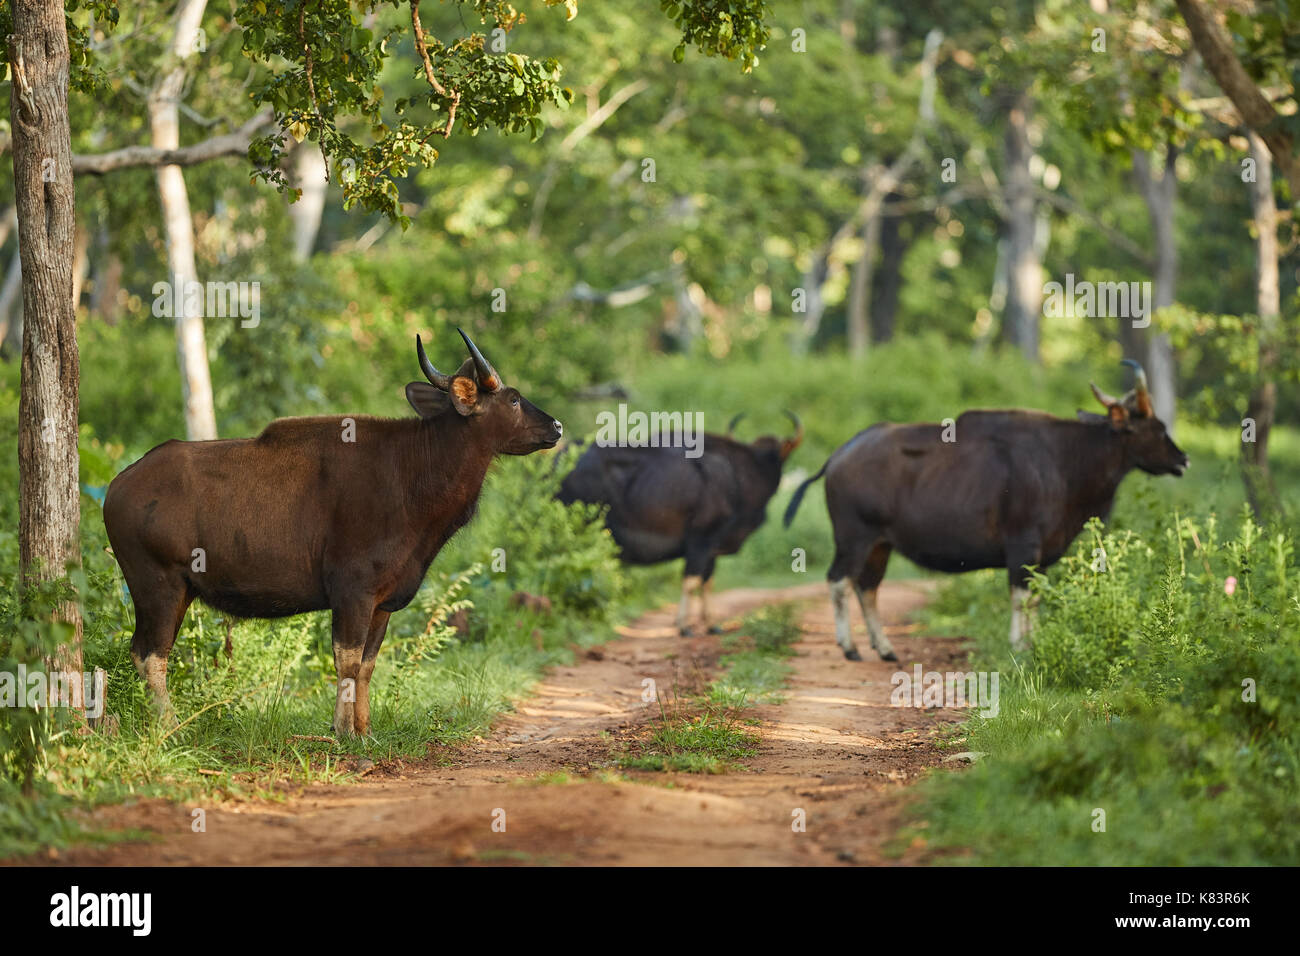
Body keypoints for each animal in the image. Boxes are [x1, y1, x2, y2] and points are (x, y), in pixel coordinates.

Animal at [103, 330, 561, 735]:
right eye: (514, 398)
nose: (556, 426)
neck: (413, 473)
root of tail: (115, 487)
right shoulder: (351, 590)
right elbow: (348, 660)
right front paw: (343, 732)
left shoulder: (382, 603)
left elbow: (368, 665)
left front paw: (365, 730)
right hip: (157, 585)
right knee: (150, 654)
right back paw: (170, 727)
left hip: (178, 590)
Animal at [558, 412, 803, 634]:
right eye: (775, 458)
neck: (736, 473)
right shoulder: (701, 540)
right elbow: (692, 582)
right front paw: (684, 626)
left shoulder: (712, 549)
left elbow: (707, 582)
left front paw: (711, 624)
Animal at [783, 361, 1187, 658]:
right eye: (1157, 427)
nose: (1183, 458)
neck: (1067, 460)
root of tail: (839, 454)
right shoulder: (1023, 545)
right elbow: (1020, 598)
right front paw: (1019, 647)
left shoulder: (1041, 555)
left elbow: (1035, 598)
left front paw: (1032, 643)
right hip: (854, 537)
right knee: (839, 580)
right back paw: (849, 647)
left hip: (880, 544)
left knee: (867, 586)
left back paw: (884, 649)